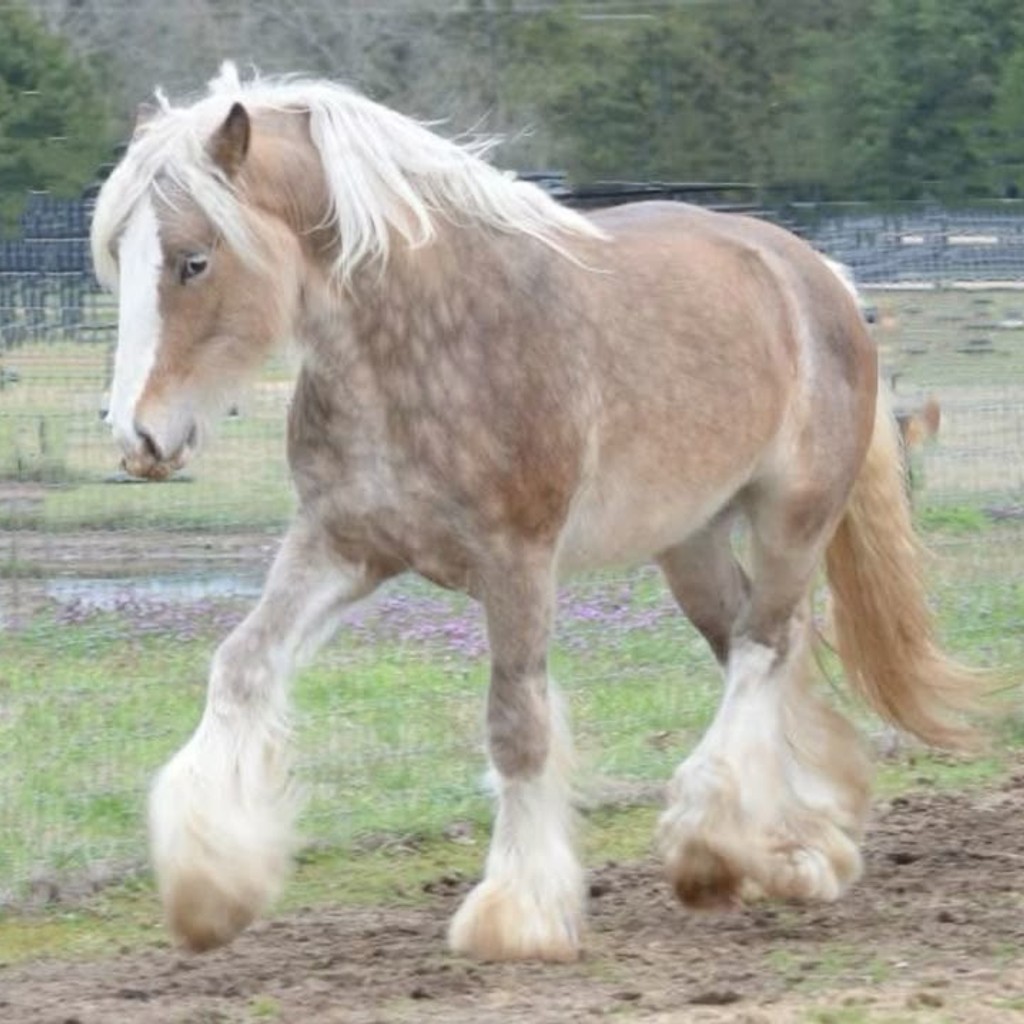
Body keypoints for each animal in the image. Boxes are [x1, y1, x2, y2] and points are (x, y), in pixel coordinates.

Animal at [90, 63, 978, 963]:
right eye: (121, 256)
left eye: (195, 261)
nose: (138, 437)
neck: (427, 342)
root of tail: (820, 275)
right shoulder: (342, 545)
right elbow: (242, 667)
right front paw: (209, 890)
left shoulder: (516, 560)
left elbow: (517, 725)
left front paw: (515, 912)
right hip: (689, 544)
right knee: (765, 647)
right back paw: (793, 850)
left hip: (792, 519)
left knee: (764, 646)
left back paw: (710, 844)